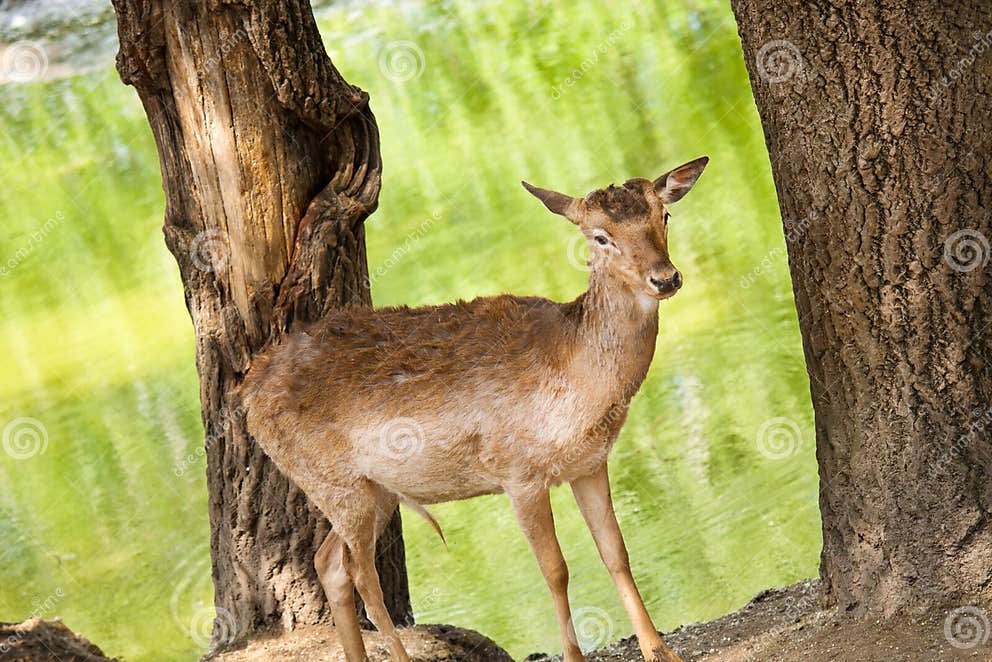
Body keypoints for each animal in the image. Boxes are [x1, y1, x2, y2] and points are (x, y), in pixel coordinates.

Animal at [241, 156, 709, 662]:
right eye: (600, 236)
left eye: (663, 215)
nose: (666, 278)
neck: (577, 380)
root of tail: (247, 392)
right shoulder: (517, 472)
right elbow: (556, 571)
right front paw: (575, 655)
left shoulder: (589, 463)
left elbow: (616, 553)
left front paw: (661, 651)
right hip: (336, 484)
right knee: (362, 575)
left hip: (370, 491)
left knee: (328, 563)